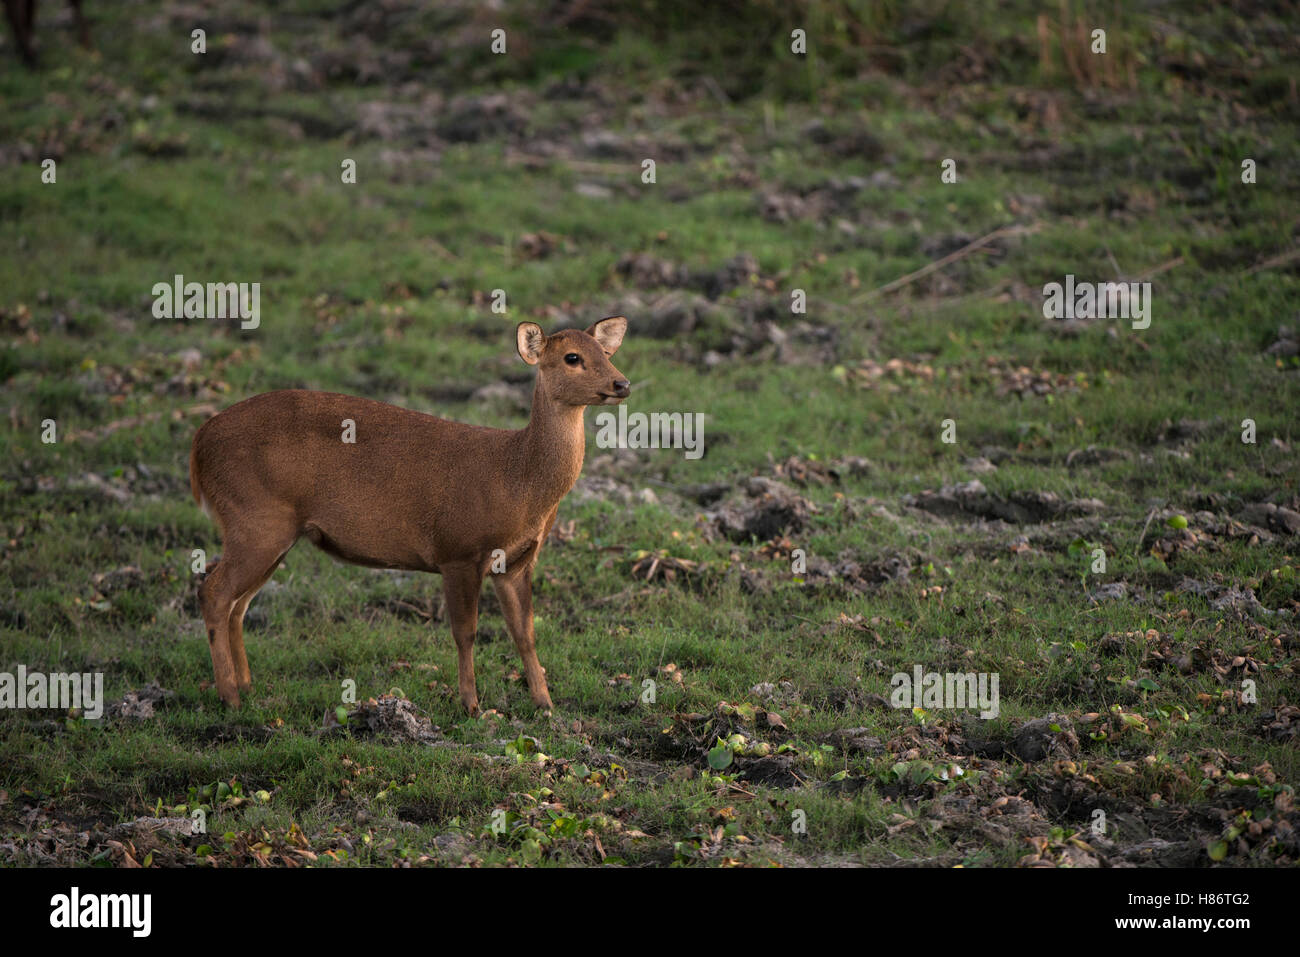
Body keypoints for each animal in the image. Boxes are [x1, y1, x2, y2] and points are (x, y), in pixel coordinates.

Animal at [188, 317, 630, 716]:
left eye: (606, 353)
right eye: (572, 357)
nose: (622, 384)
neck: (517, 478)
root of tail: (198, 443)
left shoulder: (518, 561)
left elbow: (525, 633)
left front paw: (545, 705)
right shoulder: (458, 550)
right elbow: (465, 633)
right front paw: (472, 705)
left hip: (270, 531)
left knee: (238, 604)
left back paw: (247, 686)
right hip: (254, 517)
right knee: (213, 592)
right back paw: (229, 697)